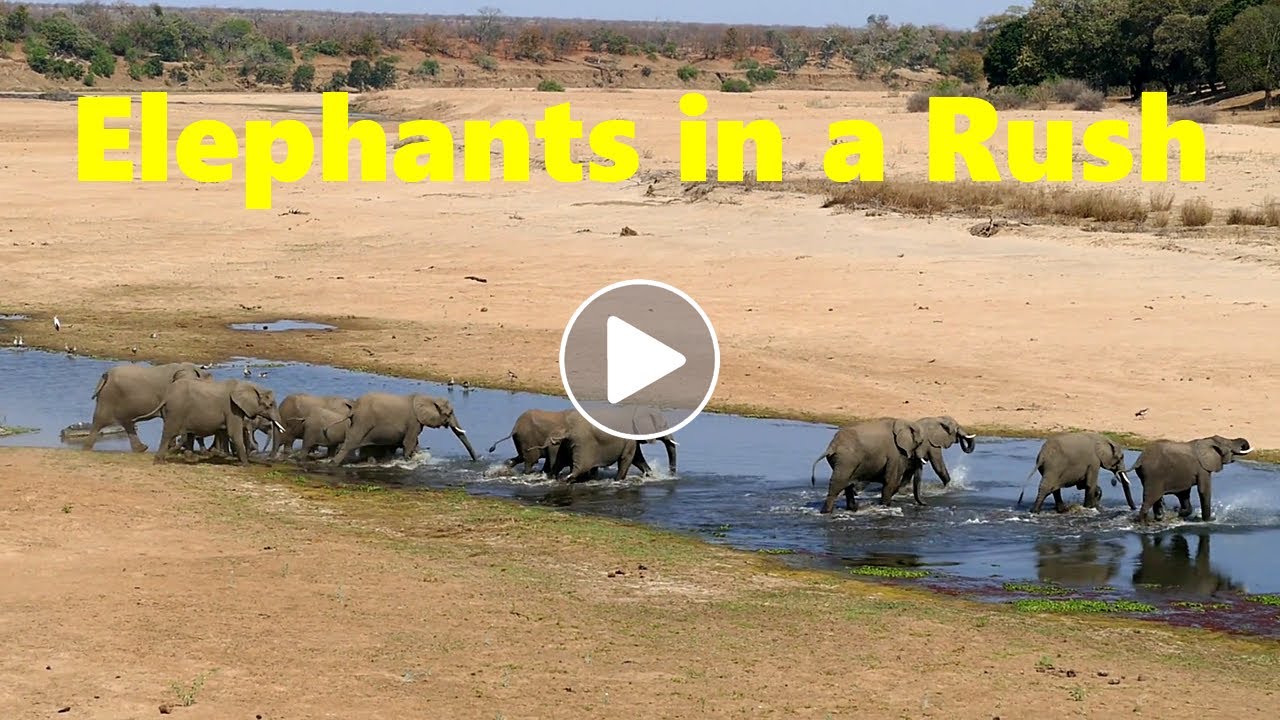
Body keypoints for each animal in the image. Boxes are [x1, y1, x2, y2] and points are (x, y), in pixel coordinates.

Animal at [82, 362, 214, 452]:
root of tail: (106, 374)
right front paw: (172, 447)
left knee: (127, 423)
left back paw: (142, 449)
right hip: (109, 397)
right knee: (99, 421)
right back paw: (87, 448)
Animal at [135, 378, 284, 465]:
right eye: (270, 405)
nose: (269, 462)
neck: (252, 386)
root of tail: (167, 395)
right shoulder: (232, 408)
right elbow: (234, 433)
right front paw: (245, 464)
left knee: (187, 434)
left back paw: (190, 459)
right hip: (176, 410)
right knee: (169, 432)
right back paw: (160, 462)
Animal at [328, 392, 479, 466]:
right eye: (449, 413)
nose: (475, 461)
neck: (428, 398)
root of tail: (354, 407)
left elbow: (414, 443)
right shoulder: (413, 421)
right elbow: (409, 443)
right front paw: (408, 461)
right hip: (363, 421)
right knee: (350, 443)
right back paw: (332, 464)